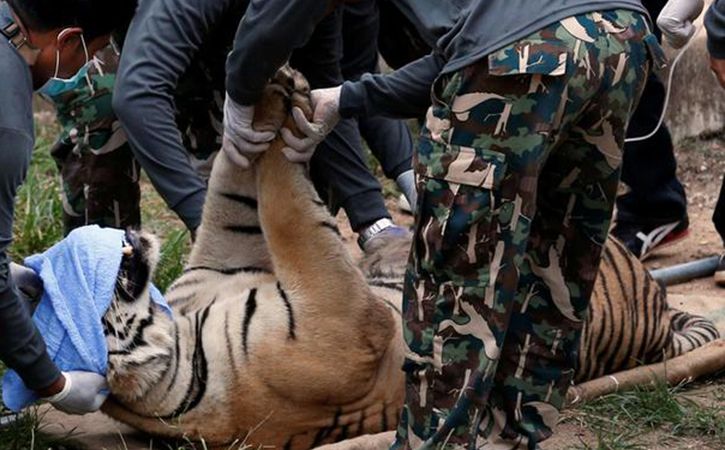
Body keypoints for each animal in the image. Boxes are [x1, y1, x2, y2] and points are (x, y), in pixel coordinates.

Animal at [96, 65, 719, 448]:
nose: (120, 234)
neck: (183, 337)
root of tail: (658, 304)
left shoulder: (218, 263)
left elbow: (239, 186)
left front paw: (268, 94)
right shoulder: (341, 322)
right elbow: (289, 208)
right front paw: (288, 104)